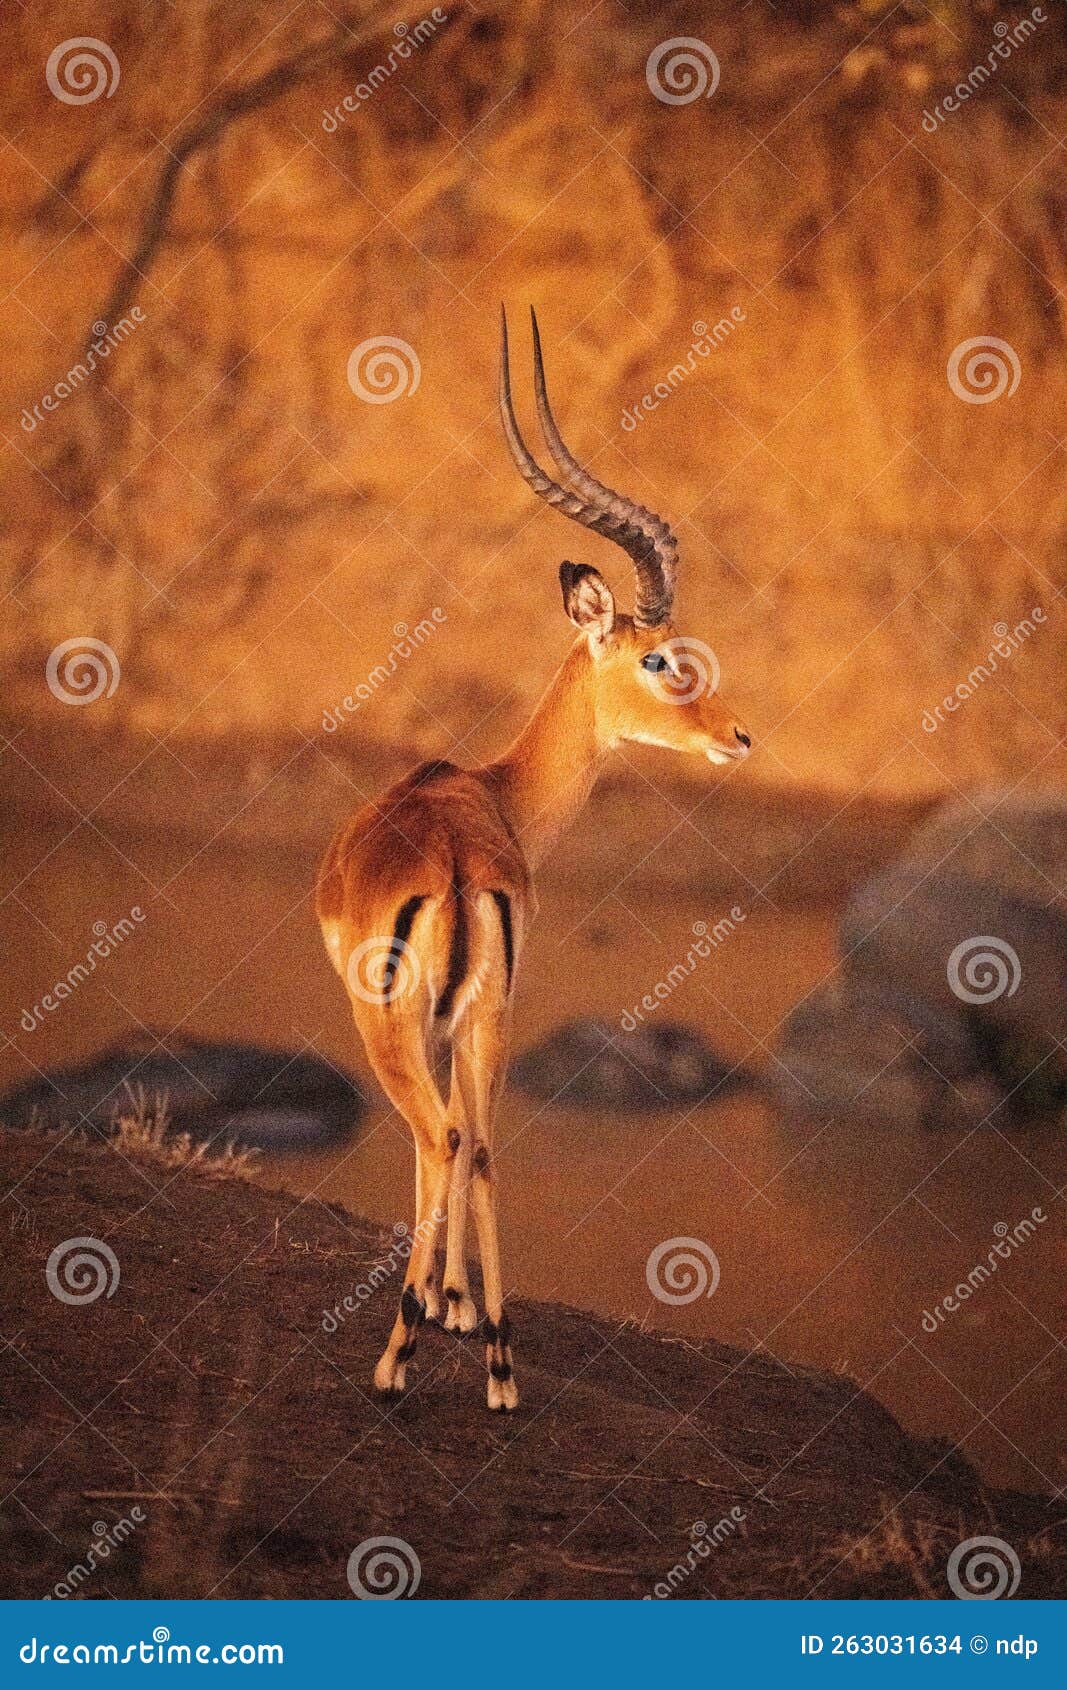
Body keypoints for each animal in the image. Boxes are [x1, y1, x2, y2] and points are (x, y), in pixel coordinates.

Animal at [316, 308, 751, 1411]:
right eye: (658, 657)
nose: (739, 737)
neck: (488, 791)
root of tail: (455, 866)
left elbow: (433, 1147)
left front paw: (438, 1312)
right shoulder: (467, 1017)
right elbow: (474, 1147)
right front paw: (466, 1313)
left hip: (392, 1022)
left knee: (438, 1135)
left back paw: (395, 1359)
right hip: (487, 1015)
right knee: (476, 1142)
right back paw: (502, 1367)